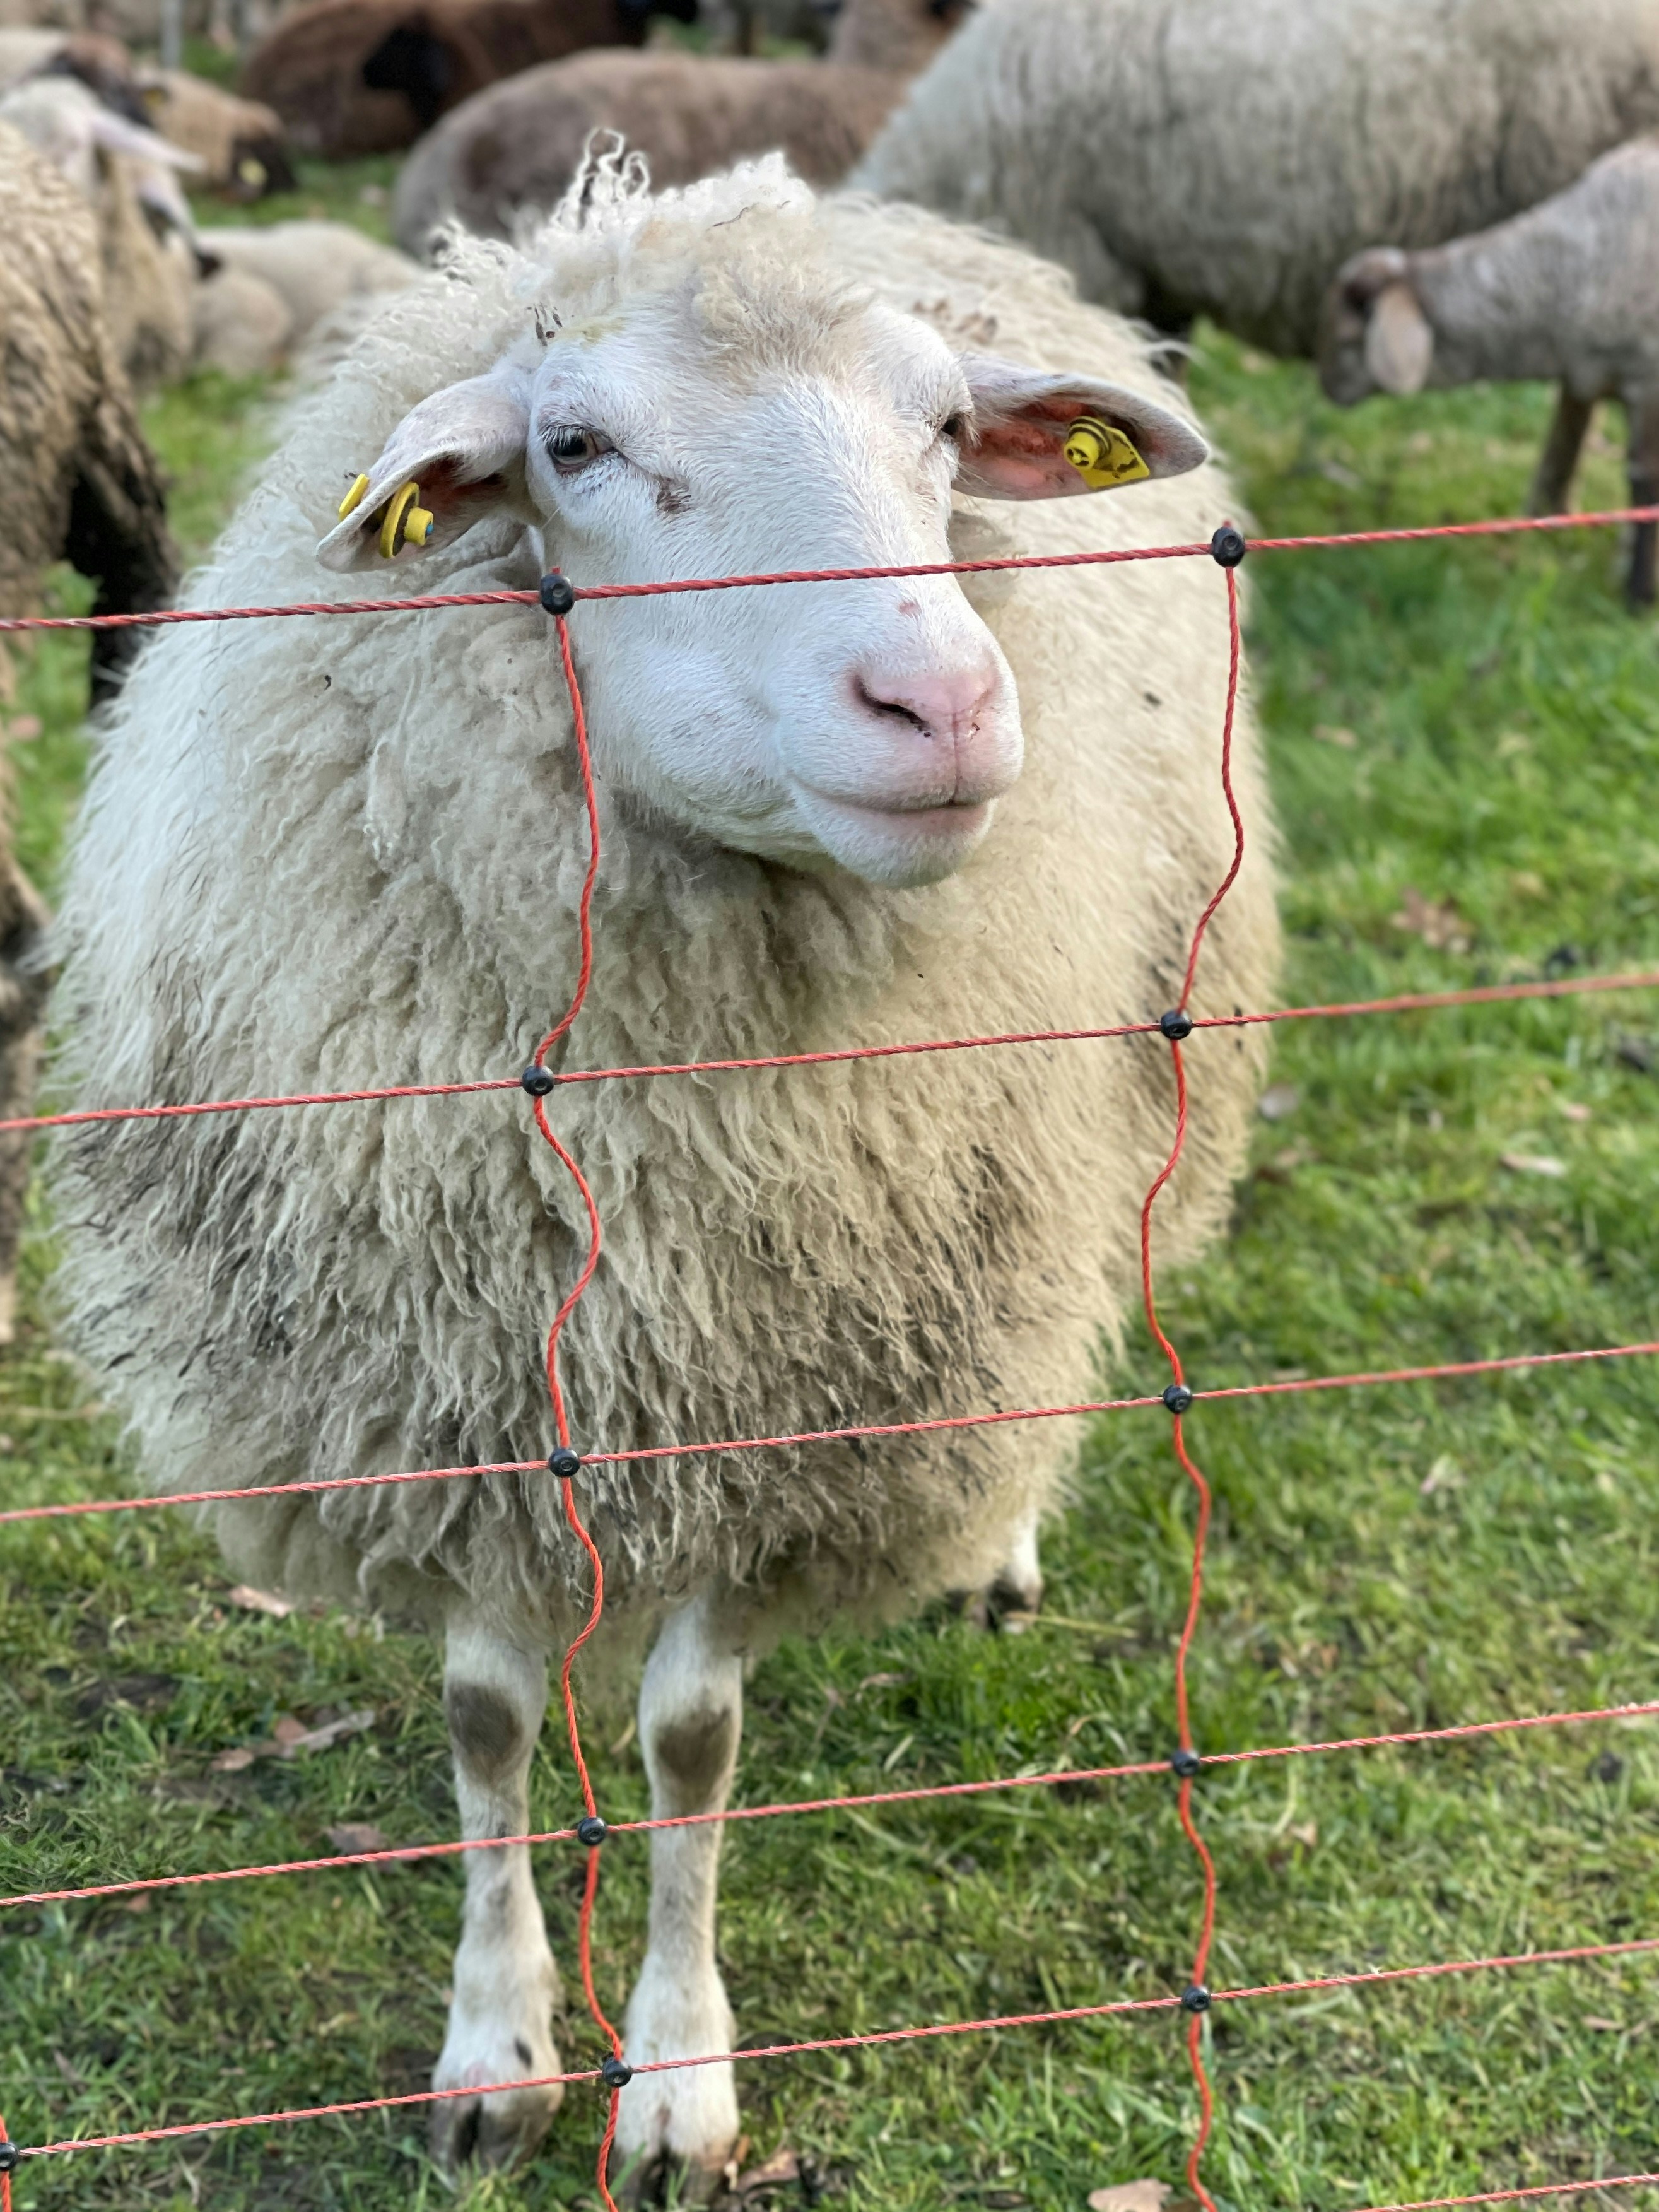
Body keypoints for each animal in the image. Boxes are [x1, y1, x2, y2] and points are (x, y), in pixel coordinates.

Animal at [50, 155, 1277, 2191]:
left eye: (945, 429)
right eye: (576, 445)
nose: (941, 703)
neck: (633, 1127)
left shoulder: (769, 1394)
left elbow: (690, 1743)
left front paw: (676, 2086)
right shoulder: (456, 1378)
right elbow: (482, 1715)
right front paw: (493, 2057)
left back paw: (1000, 1543)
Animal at [1318, 137, 1659, 610]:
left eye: (1351, 332)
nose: (1325, 385)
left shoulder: (1647, 379)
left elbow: (1645, 480)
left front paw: (1639, 595)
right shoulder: (1594, 374)